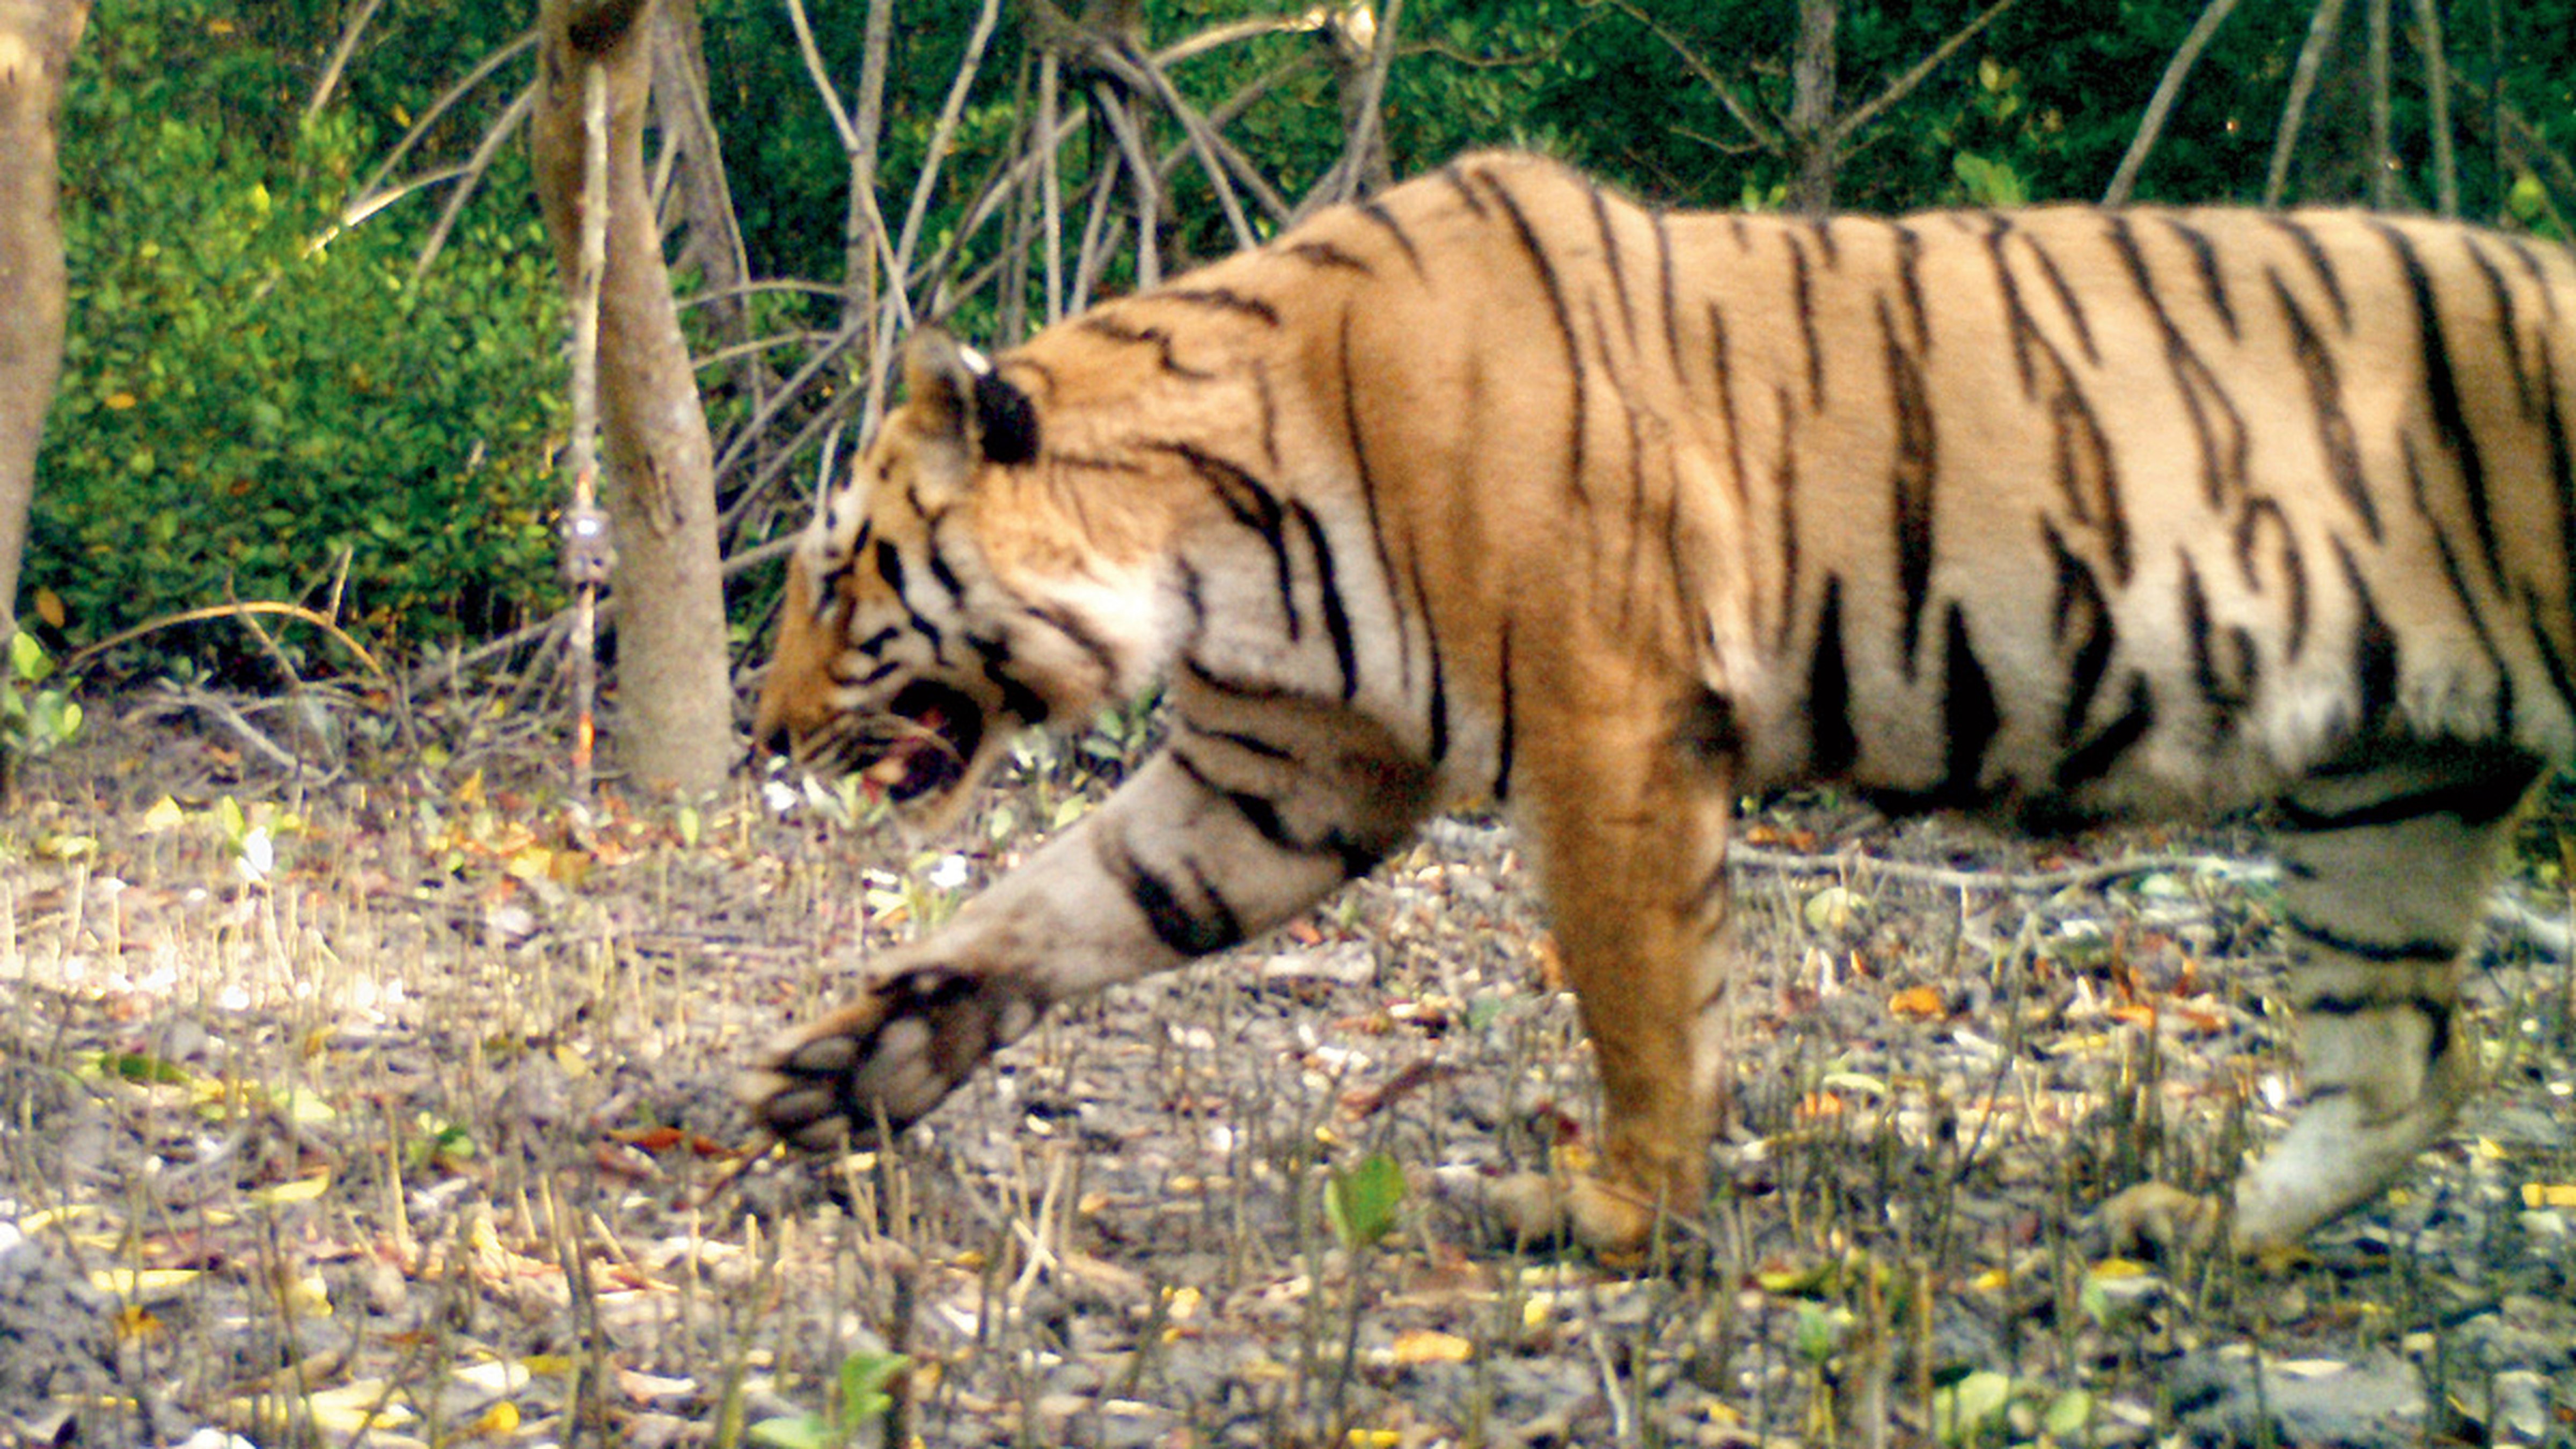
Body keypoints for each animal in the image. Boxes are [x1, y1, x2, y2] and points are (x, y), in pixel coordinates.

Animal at [745, 149, 2576, 1257]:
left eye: (835, 581)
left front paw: (1616, 1212)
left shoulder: (1606, 721)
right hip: (2395, 786)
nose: (762, 732)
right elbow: (1058, 903)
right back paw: (2191, 1233)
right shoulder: (1283, 774)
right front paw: (848, 1070)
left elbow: (1641, 997)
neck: (1210, 529)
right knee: (2406, 1059)